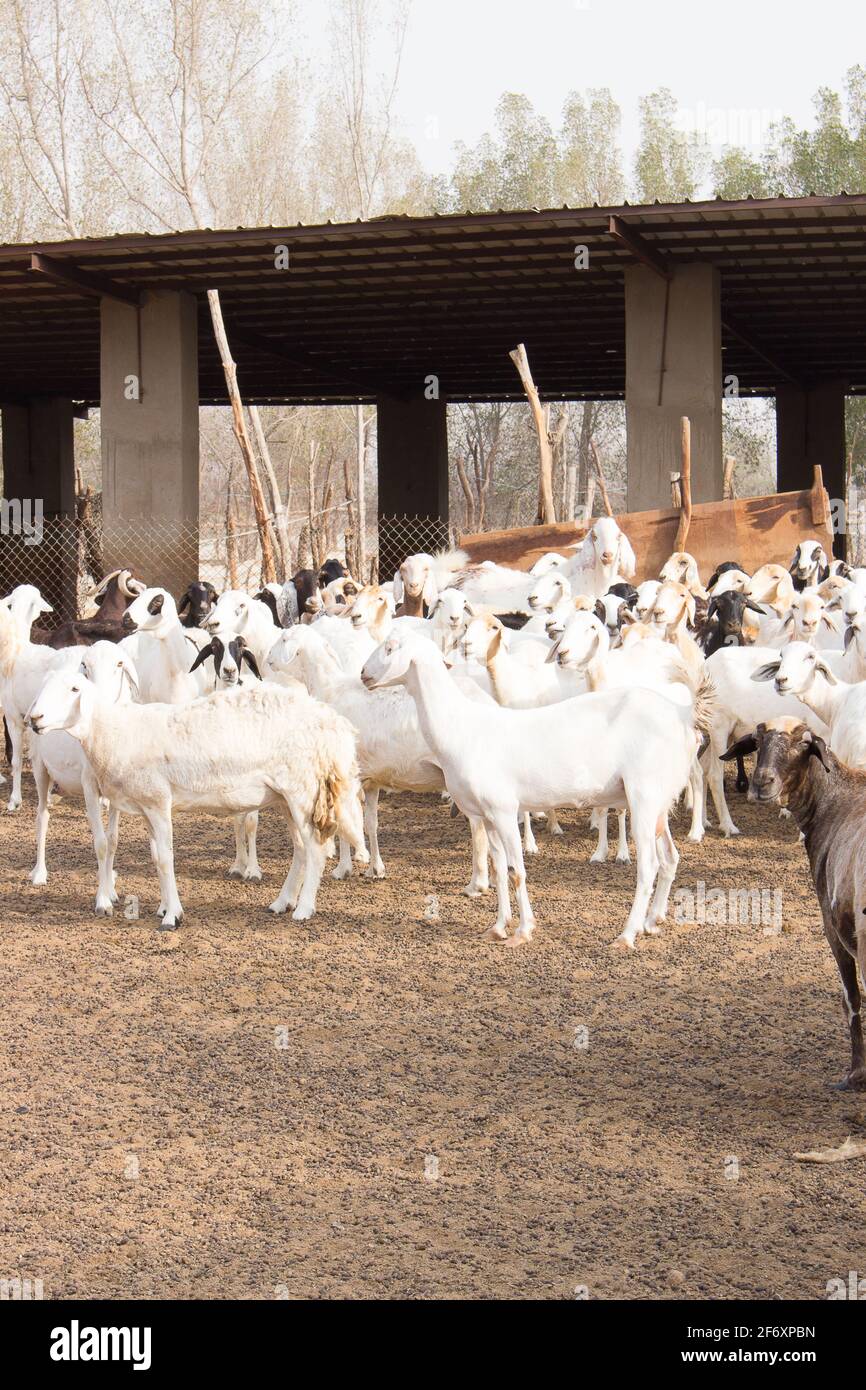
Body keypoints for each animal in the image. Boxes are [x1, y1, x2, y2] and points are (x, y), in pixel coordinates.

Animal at [27, 673, 366, 927]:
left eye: (74, 689)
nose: (35, 718)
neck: (115, 732)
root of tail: (335, 725)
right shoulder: (146, 807)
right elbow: (155, 857)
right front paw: (164, 907)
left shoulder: (157, 801)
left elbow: (165, 858)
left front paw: (172, 916)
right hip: (285, 797)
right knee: (301, 849)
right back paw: (282, 902)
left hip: (303, 790)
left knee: (316, 849)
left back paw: (304, 909)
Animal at [28, 641, 139, 910]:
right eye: (85, 666)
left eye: (119, 664)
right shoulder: (89, 786)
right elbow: (100, 843)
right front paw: (103, 900)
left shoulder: (116, 790)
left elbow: (113, 839)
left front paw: (111, 889)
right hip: (40, 767)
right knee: (42, 816)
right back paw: (39, 873)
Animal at [361, 633, 710, 948]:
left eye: (390, 648)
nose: (363, 674)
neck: (462, 727)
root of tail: (682, 714)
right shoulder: (488, 816)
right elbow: (499, 870)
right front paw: (498, 927)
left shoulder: (503, 810)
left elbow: (517, 871)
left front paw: (522, 931)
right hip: (659, 802)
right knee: (670, 859)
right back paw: (651, 923)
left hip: (643, 797)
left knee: (648, 867)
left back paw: (627, 934)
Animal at [721, 719, 866, 1089]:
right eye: (757, 742)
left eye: (803, 744)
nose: (761, 782)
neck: (834, 802)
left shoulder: (833, 929)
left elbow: (851, 999)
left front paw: (855, 1074)